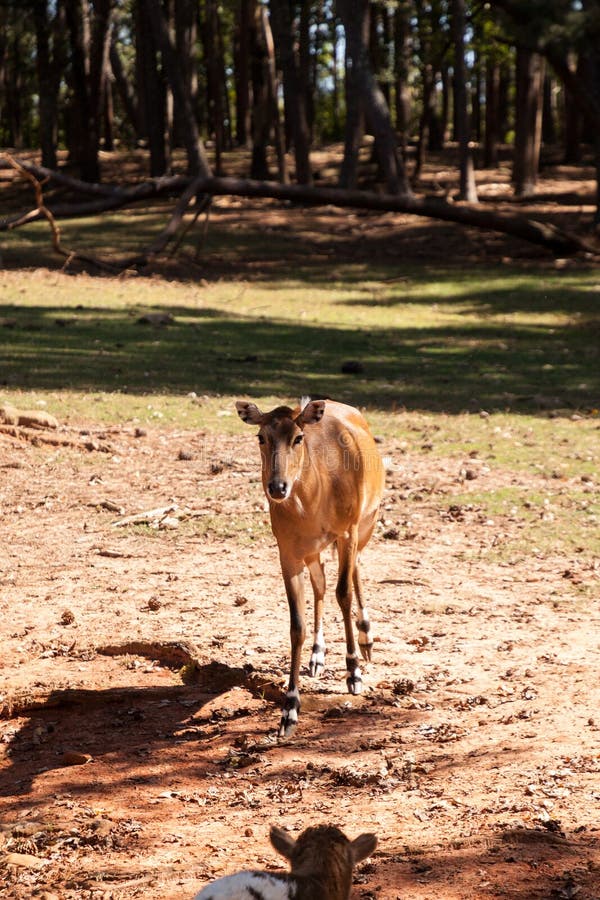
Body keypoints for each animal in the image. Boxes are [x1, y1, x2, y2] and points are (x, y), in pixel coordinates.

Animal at [236, 397, 384, 736]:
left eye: (298, 437)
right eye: (261, 437)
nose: (278, 487)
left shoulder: (347, 530)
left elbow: (344, 594)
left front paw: (353, 673)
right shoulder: (288, 551)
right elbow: (296, 624)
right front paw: (289, 711)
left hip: (367, 522)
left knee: (354, 569)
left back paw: (367, 639)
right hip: (314, 551)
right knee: (322, 584)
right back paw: (318, 656)